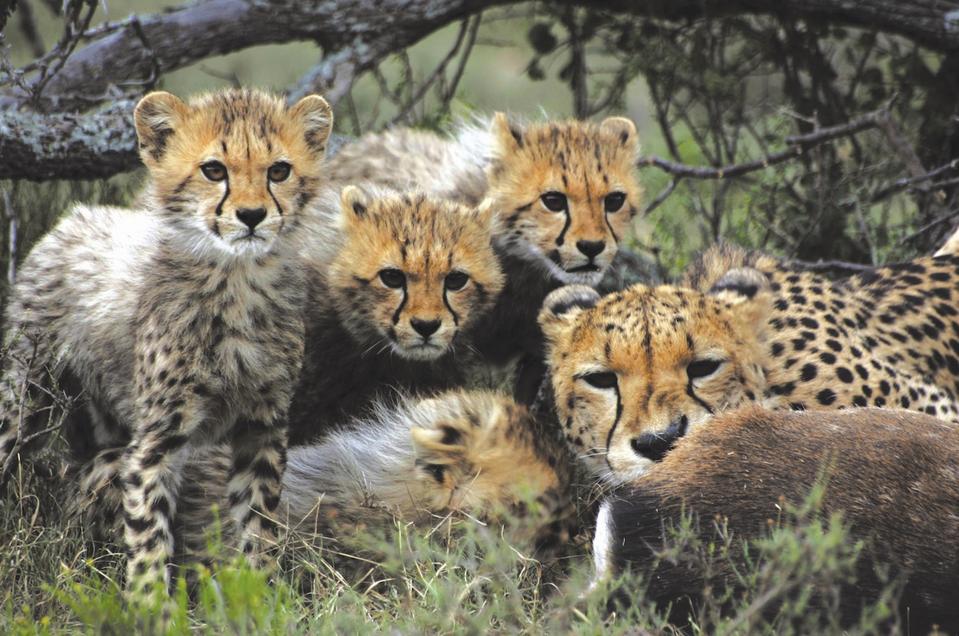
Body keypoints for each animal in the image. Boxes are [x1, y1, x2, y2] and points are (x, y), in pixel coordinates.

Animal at [0, 88, 333, 594]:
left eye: (279, 171)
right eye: (213, 170)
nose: (252, 216)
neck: (236, 280)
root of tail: (78, 214)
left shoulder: (262, 426)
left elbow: (258, 525)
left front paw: (261, 595)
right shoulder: (158, 437)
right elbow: (149, 531)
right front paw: (149, 602)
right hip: (26, 396)